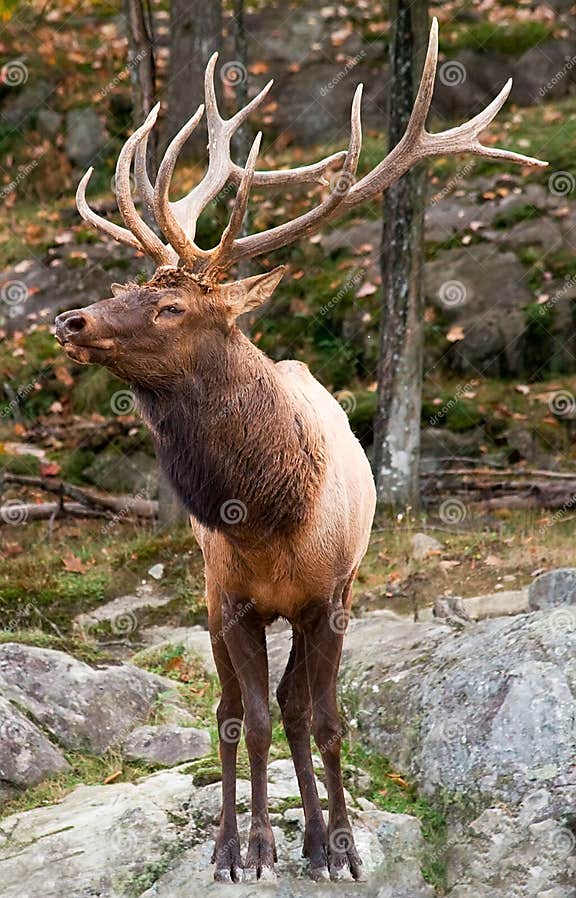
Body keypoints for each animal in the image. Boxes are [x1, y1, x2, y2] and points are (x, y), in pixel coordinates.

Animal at [55, 19, 545, 884]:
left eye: (172, 305)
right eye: (129, 287)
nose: (71, 321)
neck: (267, 515)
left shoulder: (333, 597)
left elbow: (324, 720)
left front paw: (340, 848)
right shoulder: (232, 598)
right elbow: (244, 720)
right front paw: (247, 849)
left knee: (291, 708)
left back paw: (315, 837)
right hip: (209, 598)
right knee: (230, 711)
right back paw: (242, 840)